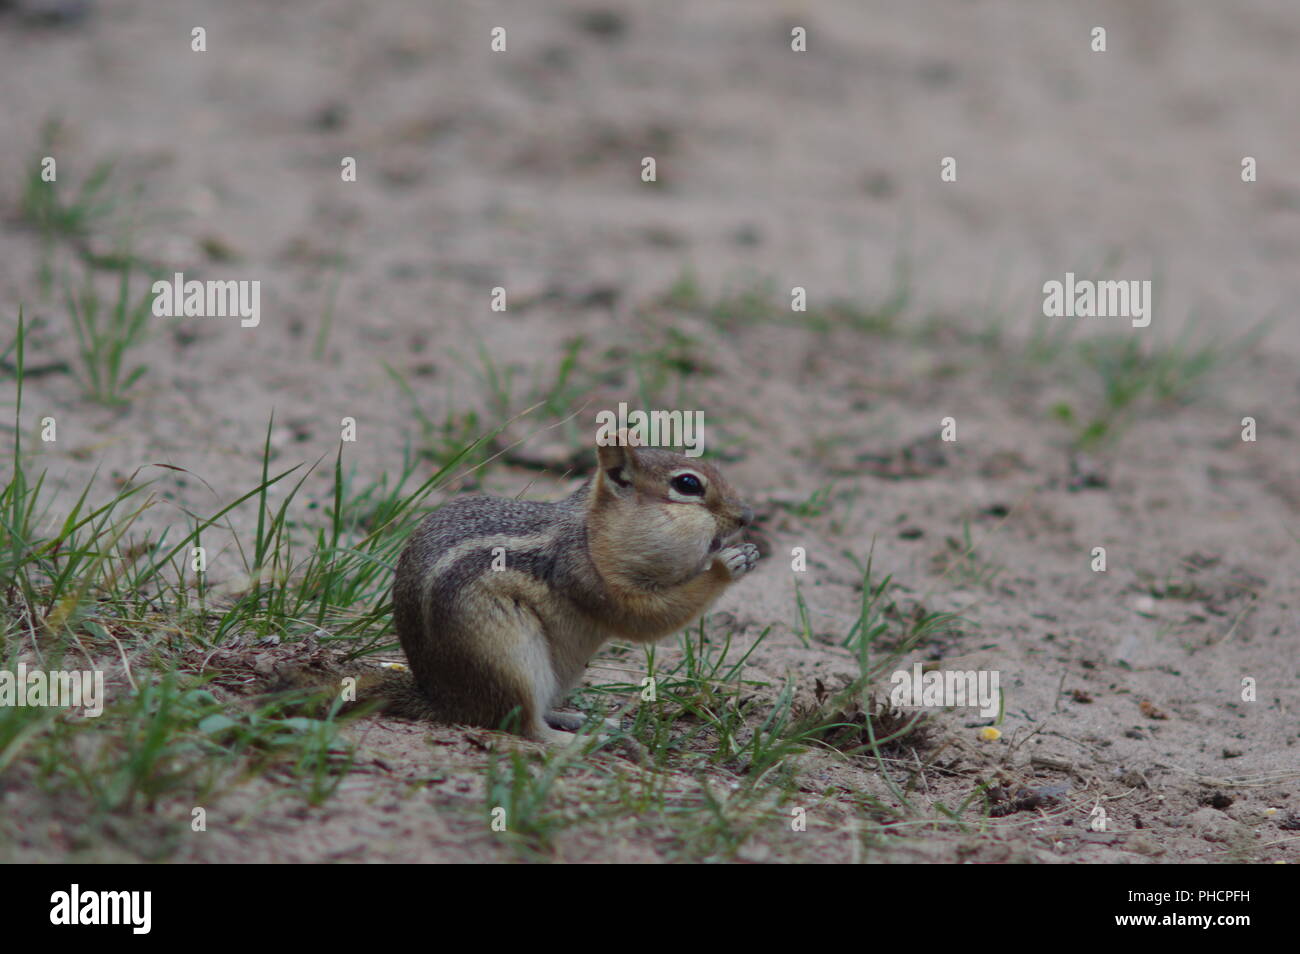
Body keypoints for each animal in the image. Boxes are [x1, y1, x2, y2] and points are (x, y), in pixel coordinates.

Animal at [384, 436, 759, 743]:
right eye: (687, 484)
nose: (747, 516)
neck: (595, 533)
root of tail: (443, 701)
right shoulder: (583, 572)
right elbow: (644, 620)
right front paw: (726, 566)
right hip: (509, 657)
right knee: (525, 726)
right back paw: (583, 741)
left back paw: (583, 720)